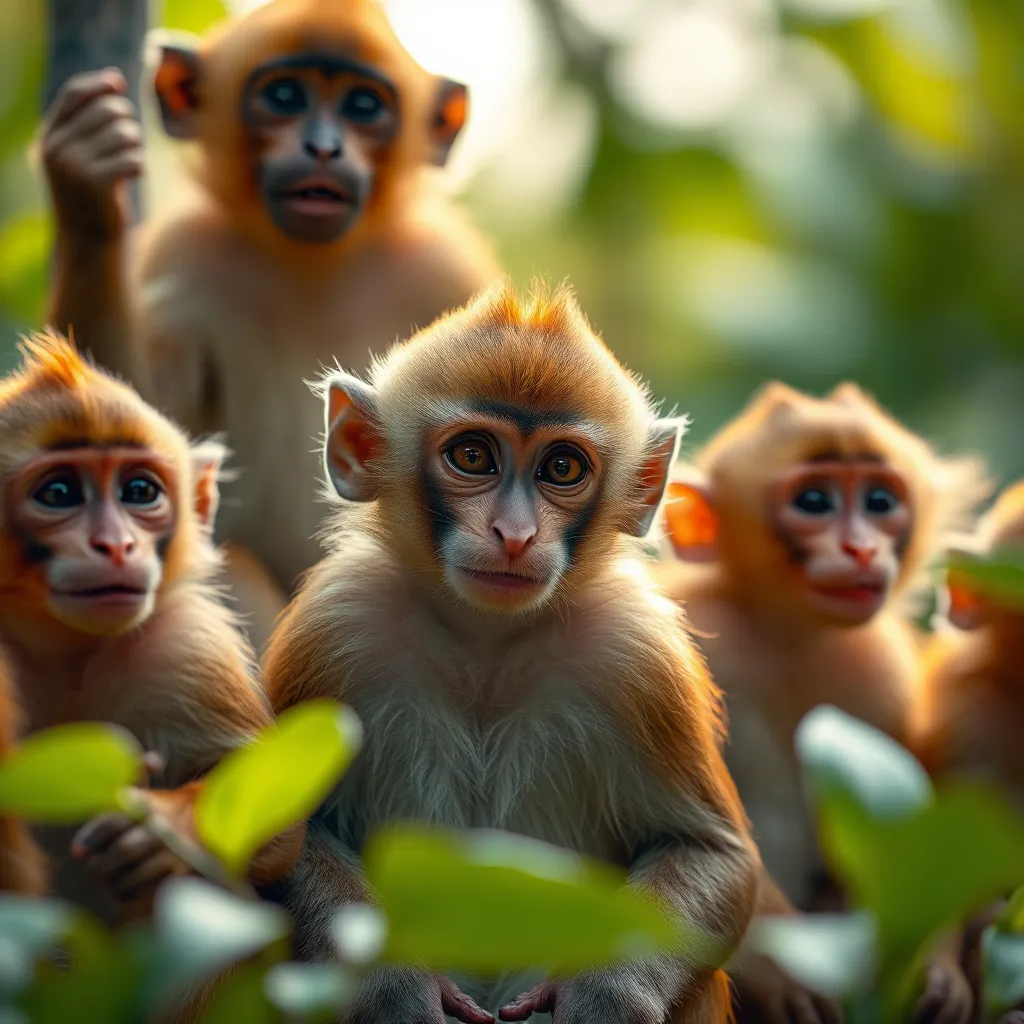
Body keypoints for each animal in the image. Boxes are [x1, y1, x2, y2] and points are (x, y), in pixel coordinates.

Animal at [0, 330, 302, 926]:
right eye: (58, 494)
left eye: (139, 491)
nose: (117, 546)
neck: (64, 650)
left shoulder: (184, 644)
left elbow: (275, 810)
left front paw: (162, 832)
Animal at [40, 0, 503, 650]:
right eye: (284, 96)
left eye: (363, 107)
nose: (323, 147)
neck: (311, 263)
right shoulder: (185, 256)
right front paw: (87, 188)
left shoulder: (445, 269)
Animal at [260, 280, 759, 1024]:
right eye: (472, 456)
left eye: (562, 467)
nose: (516, 535)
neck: (486, 645)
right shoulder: (335, 628)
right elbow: (278, 839)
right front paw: (395, 990)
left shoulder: (640, 658)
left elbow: (714, 855)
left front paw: (604, 995)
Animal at [657, 382, 990, 1024]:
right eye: (814, 501)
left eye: (880, 501)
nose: (860, 548)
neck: (793, 634)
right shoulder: (704, 634)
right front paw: (787, 976)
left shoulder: (878, 670)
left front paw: (937, 971)